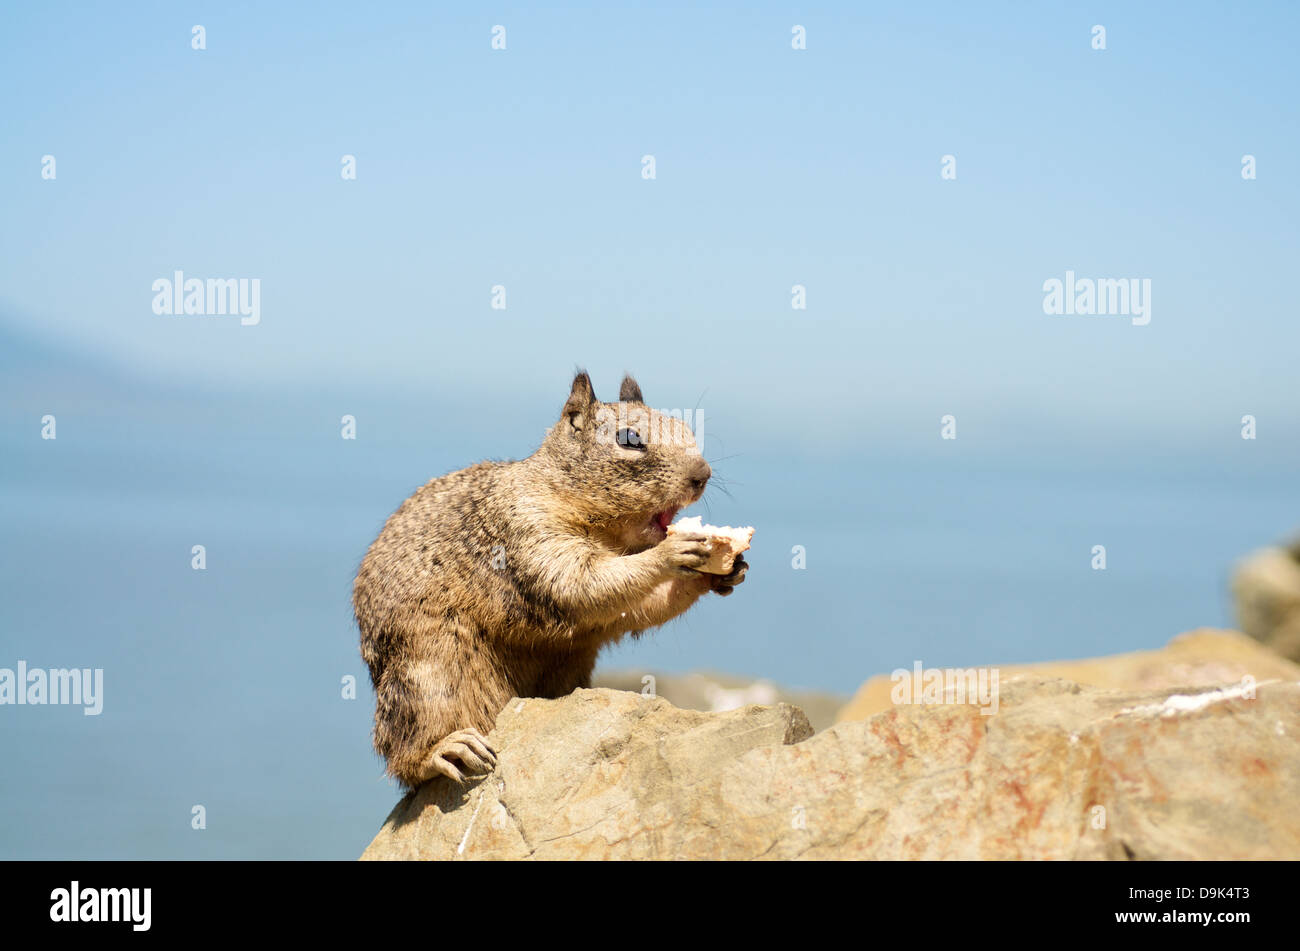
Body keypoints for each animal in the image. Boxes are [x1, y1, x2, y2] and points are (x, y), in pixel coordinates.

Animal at [353, 371, 748, 788]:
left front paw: (720, 572)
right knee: (403, 751)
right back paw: (443, 750)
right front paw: (671, 553)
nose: (702, 474)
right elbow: (582, 581)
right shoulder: (528, 531)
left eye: (687, 428)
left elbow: (632, 607)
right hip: (429, 671)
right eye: (629, 439)